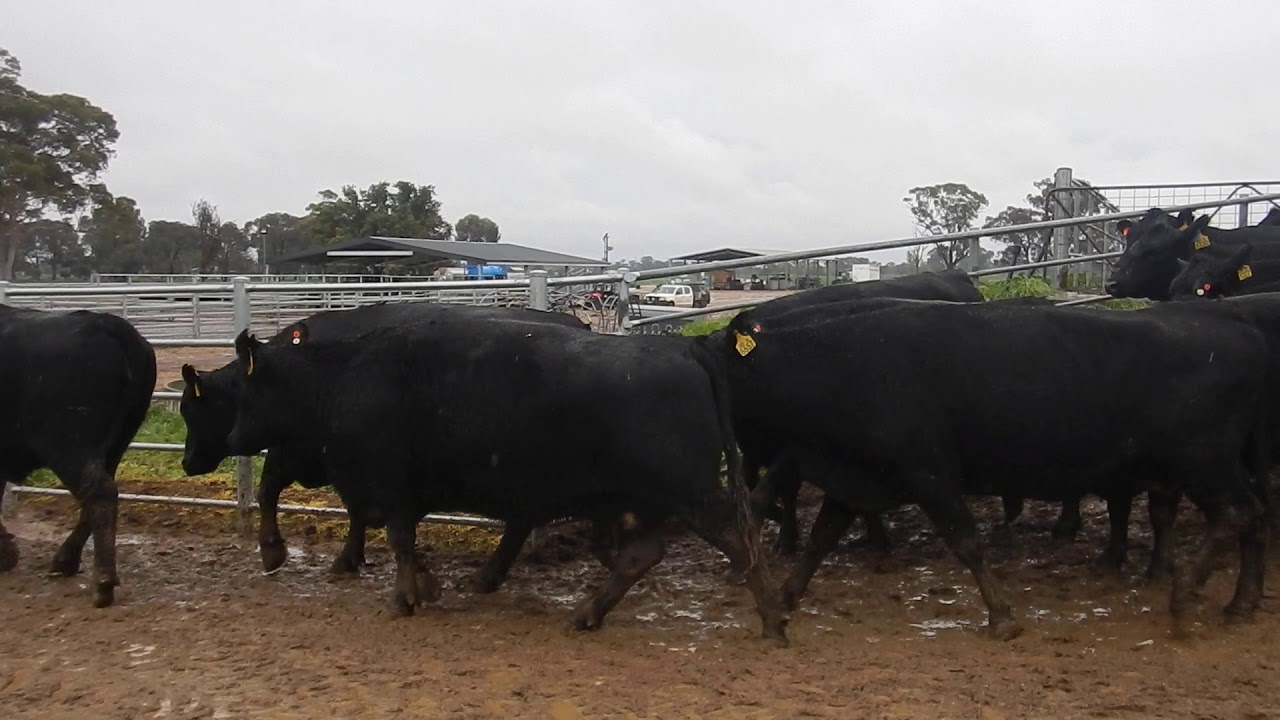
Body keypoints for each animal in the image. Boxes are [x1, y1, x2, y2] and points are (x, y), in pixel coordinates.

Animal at [0, 306, 157, 608]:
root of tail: (102, 322)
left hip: (70, 447)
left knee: (99, 493)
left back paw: (102, 582)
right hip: (113, 446)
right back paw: (66, 561)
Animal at [179, 301, 599, 591]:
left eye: (189, 409)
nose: (187, 462)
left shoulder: (310, 453)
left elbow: (274, 492)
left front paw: (274, 551)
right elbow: (358, 511)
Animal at [222, 318, 788, 642]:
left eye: (246, 392)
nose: (230, 436)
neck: (343, 376)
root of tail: (685, 349)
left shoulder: (389, 487)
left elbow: (401, 539)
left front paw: (405, 597)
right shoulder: (394, 493)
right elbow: (406, 541)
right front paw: (426, 586)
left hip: (692, 493)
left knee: (740, 542)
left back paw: (774, 620)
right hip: (646, 501)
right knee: (641, 555)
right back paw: (588, 613)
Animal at [714, 299, 1270, 639]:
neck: (846, 367)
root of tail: (1241, 332)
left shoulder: (931, 473)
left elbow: (967, 542)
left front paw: (1002, 616)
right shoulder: (857, 477)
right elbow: (819, 540)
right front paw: (786, 598)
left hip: (1205, 462)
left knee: (1240, 514)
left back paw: (1186, 593)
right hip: (1218, 466)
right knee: (1254, 517)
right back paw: (1241, 603)